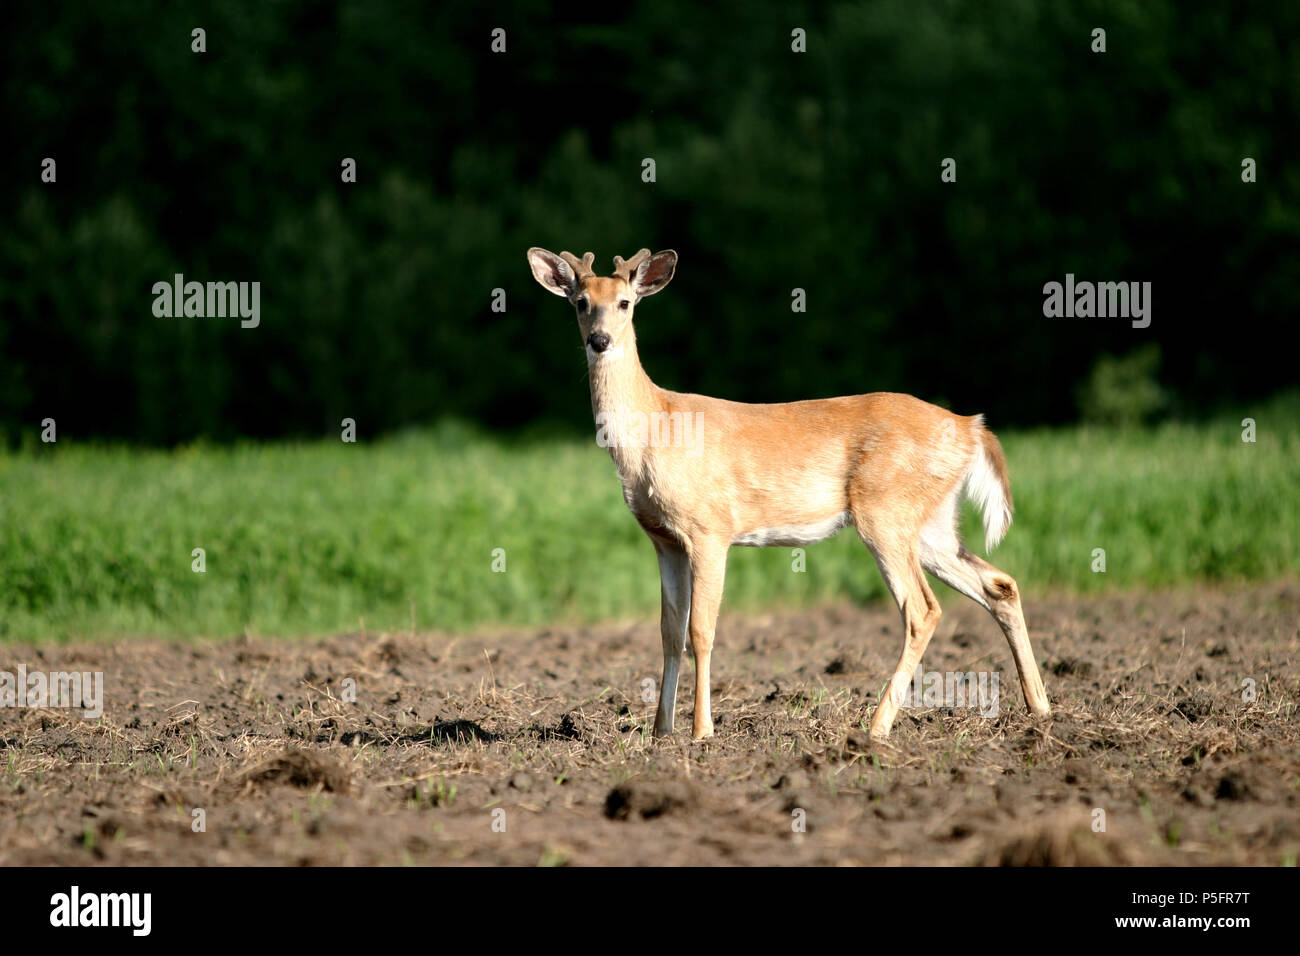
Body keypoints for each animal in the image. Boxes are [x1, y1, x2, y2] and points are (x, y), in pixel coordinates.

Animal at [526, 246, 1051, 741]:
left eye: (625, 302)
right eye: (580, 303)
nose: (600, 340)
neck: (655, 430)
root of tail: (972, 428)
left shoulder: (710, 528)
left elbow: (702, 629)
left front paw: (701, 732)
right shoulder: (663, 538)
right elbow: (669, 632)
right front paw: (661, 733)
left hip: (886, 509)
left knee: (922, 610)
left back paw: (875, 727)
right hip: (932, 521)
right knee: (999, 584)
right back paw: (1040, 709)